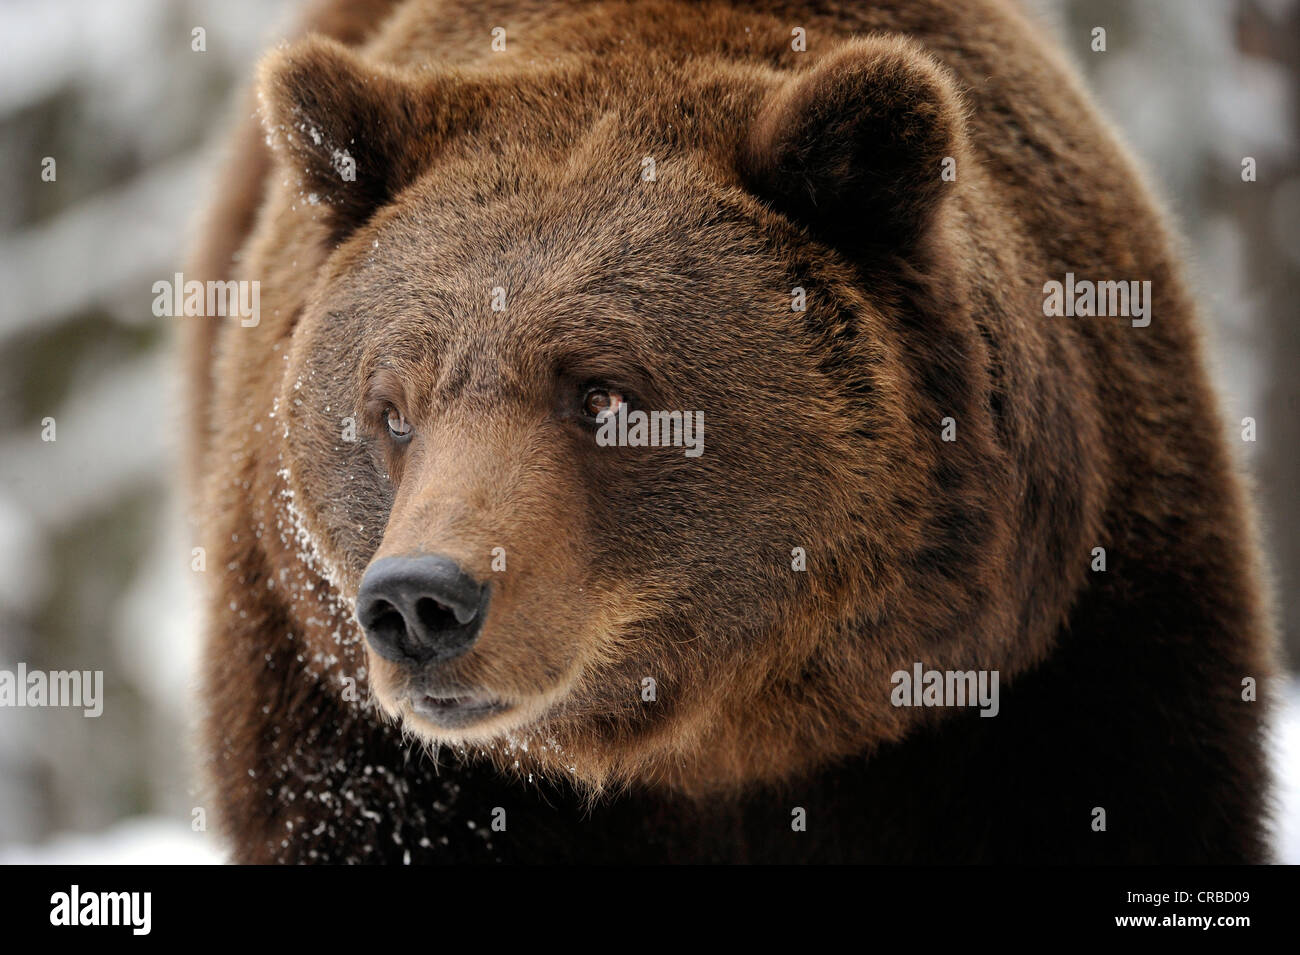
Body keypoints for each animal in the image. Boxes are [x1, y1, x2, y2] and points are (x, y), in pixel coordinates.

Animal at [184, 0, 1277, 863]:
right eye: (391, 407)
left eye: (604, 394)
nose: (420, 601)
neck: (728, 739)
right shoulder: (348, 727)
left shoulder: (1065, 662)